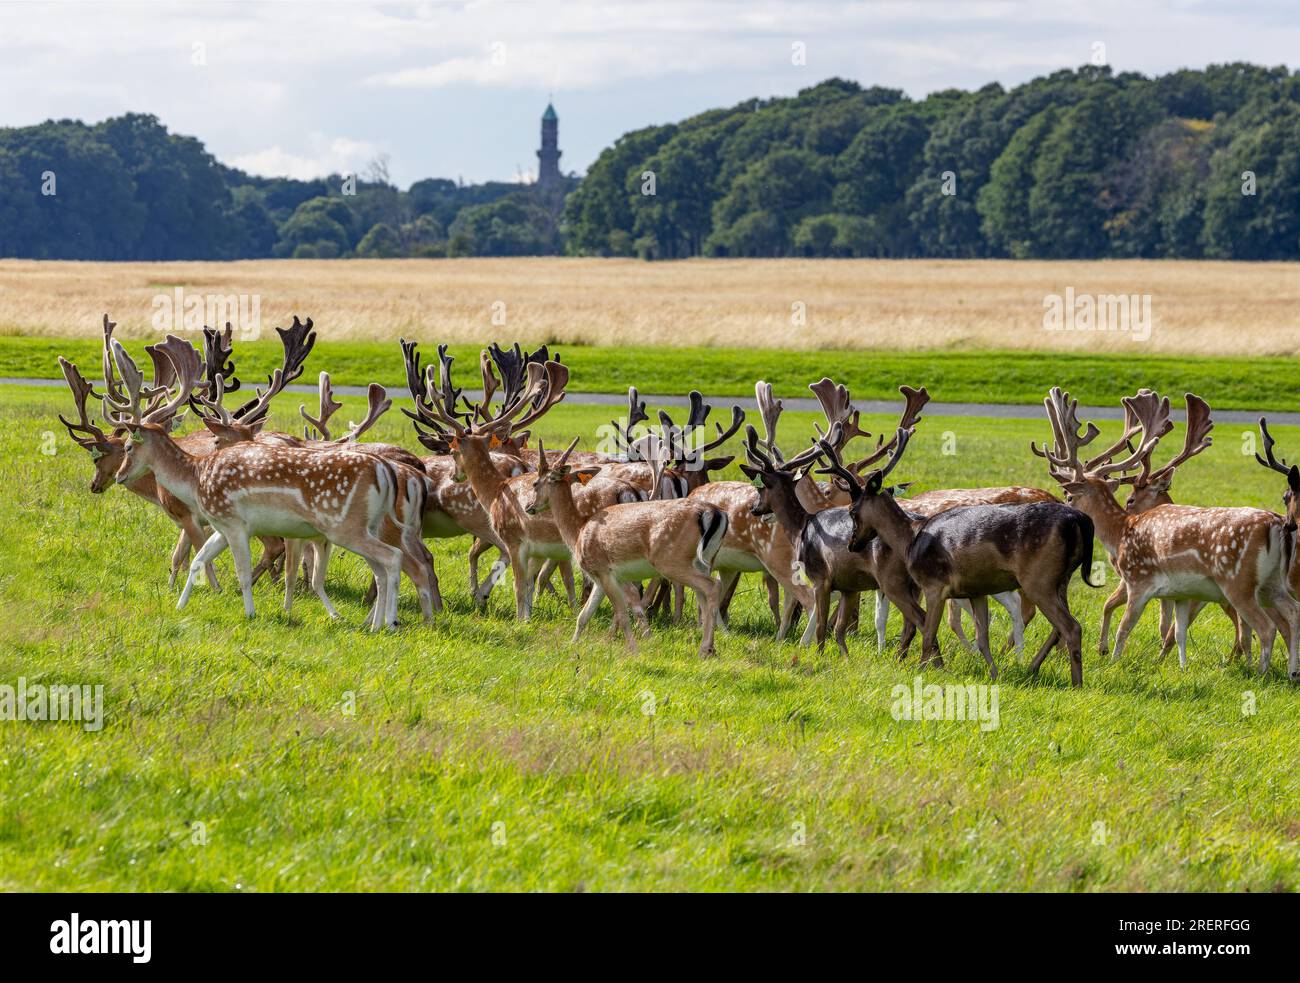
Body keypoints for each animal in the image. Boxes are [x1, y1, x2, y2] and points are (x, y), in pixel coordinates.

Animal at [107, 335, 435, 629]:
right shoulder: (221, 526)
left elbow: (241, 571)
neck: (197, 477)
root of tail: (386, 471)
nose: (119, 476)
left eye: (128, 447)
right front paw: (179, 606)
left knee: (393, 559)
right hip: (368, 526)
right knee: (383, 568)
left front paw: (250, 613)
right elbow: (199, 559)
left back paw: (390, 622)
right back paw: (377, 623)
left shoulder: (234, 521)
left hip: (344, 526)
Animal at [521, 434, 729, 657]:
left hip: (671, 561)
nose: (529, 507)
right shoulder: (600, 577)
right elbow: (584, 614)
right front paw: (573, 645)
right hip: (704, 560)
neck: (578, 532)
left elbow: (621, 613)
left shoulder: (604, 571)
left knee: (712, 586)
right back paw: (710, 648)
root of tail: (715, 513)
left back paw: (705, 648)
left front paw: (633, 650)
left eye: (535, 483)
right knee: (703, 594)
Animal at [1036, 387, 1299, 678]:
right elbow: (1178, 631)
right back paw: (1291, 672)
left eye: (1069, 495)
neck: (1120, 533)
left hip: (1238, 582)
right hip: (1272, 584)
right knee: (1292, 613)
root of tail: (1275, 525)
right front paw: (1180, 667)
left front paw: (1111, 660)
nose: (1060, 509)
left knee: (1266, 627)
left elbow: (1124, 626)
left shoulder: (1138, 581)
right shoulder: (1180, 593)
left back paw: (1262, 672)